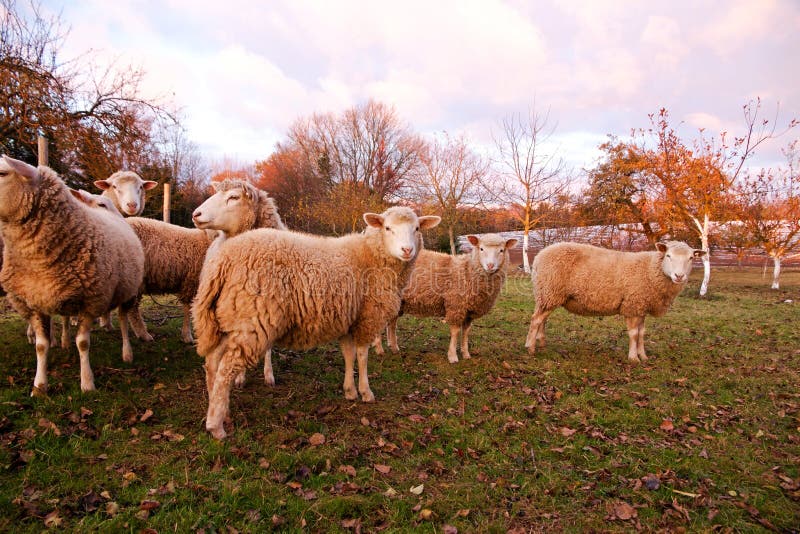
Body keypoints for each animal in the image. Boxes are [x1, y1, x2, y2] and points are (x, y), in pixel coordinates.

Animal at [0, 155, 144, 394]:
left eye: (3, 173)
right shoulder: (34, 301)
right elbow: (41, 346)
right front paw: (39, 386)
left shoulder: (92, 300)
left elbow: (83, 343)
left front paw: (87, 383)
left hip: (126, 290)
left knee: (124, 320)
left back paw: (127, 353)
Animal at [125, 180, 285, 347]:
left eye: (234, 197)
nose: (196, 214)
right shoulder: (193, 282)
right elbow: (188, 309)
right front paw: (188, 335)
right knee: (132, 309)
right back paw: (143, 334)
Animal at [193, 207, 441, 439]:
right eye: (388, 228)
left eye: (416, 228)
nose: (407, 250)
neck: (370, 255)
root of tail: (223, 260)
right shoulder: (367, 317)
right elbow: (362, 355)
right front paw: (366, 392)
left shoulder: (347, 318)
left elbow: (348, 354)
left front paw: (349, 390)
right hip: (251, 319)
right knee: (226, 369)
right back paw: (216, 426)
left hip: (227, 317)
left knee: (212, 363)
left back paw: (219, 410)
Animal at [374, 234, 518, 363]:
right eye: (481, 249)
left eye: (502, 250)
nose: (490, 265)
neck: (467, 270)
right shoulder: (456, 305)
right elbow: (455, 332)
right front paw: (453, 356)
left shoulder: (468, 311)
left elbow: (466, 331)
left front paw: (466, 353)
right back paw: (379, 349)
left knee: (392, 322)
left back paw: (393, 347)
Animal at [526, 241, 705, 362]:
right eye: (668, 255)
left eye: (691, 258)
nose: (679, 276)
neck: (650, 270)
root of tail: (539, 256)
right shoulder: (633, 305)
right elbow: (634, 334)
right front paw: (633, 358)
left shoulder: (641, 306)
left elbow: (642, 333)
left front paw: (643, 356)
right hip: (550, 291)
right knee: (536, 319)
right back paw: (531, 348)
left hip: (546, 295)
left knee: (542, 319)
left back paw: (541, 343)